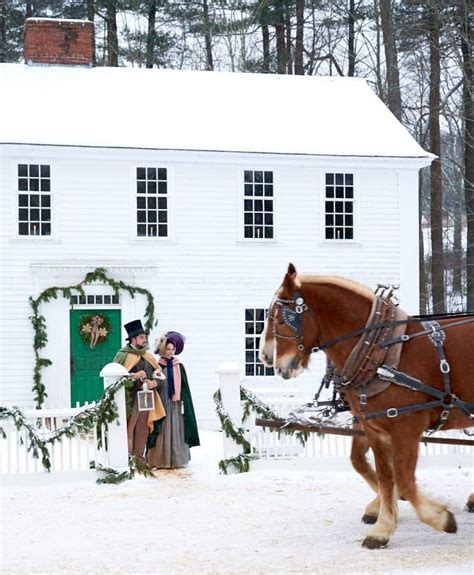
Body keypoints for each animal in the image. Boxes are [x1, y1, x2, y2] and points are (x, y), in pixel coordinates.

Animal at [262, 264, 472, 548]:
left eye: (281, 320)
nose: (267, 359)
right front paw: (383, 525)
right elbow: (381, 474)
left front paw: (440, 518)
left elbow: (403, 478)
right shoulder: (372, 425)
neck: (379, 351)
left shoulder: (406, 427)